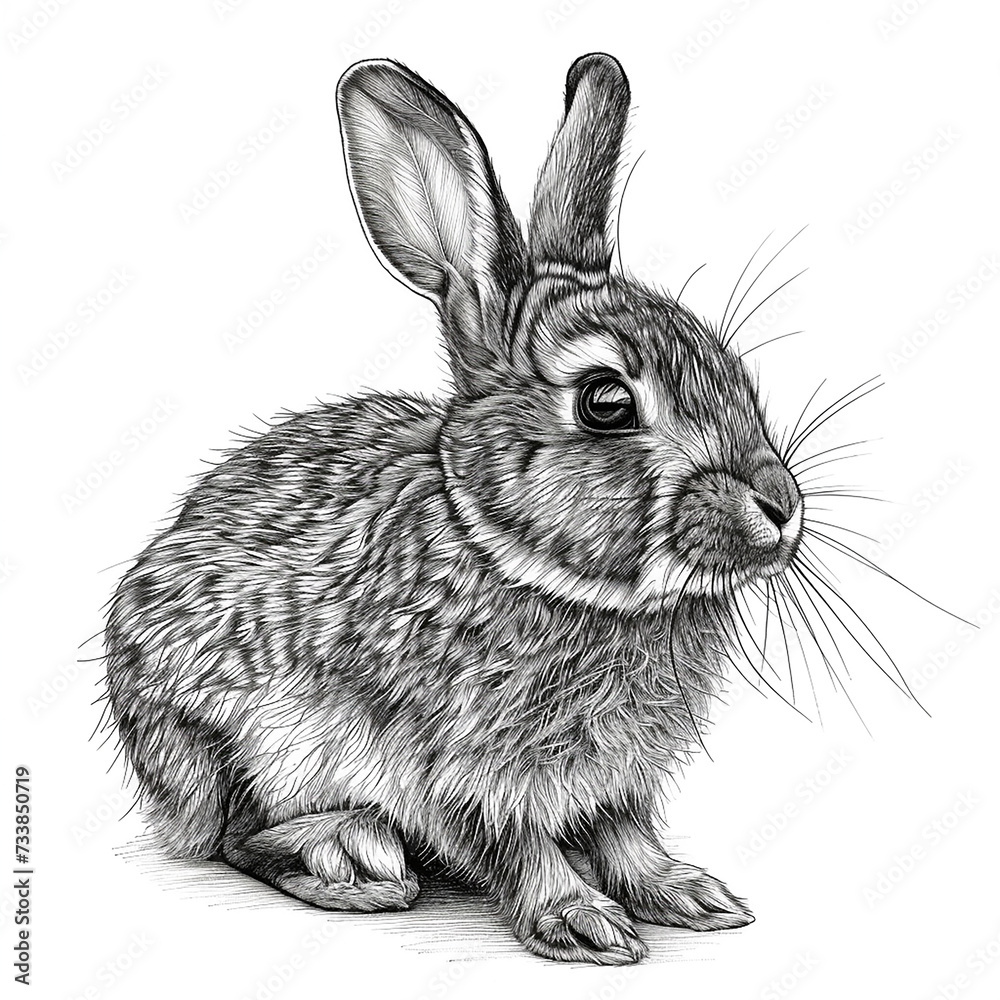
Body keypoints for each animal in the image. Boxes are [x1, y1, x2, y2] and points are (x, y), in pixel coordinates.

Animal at [104, 53, 805, 965]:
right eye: (607, 403)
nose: (781, 508)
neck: (521, 563)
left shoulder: (618, 778)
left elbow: (627, 834)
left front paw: (687, 895)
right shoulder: (449, 766)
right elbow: (516, 845)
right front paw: (578, 921)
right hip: (221, 744)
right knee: (231, 838)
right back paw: (348, 856)